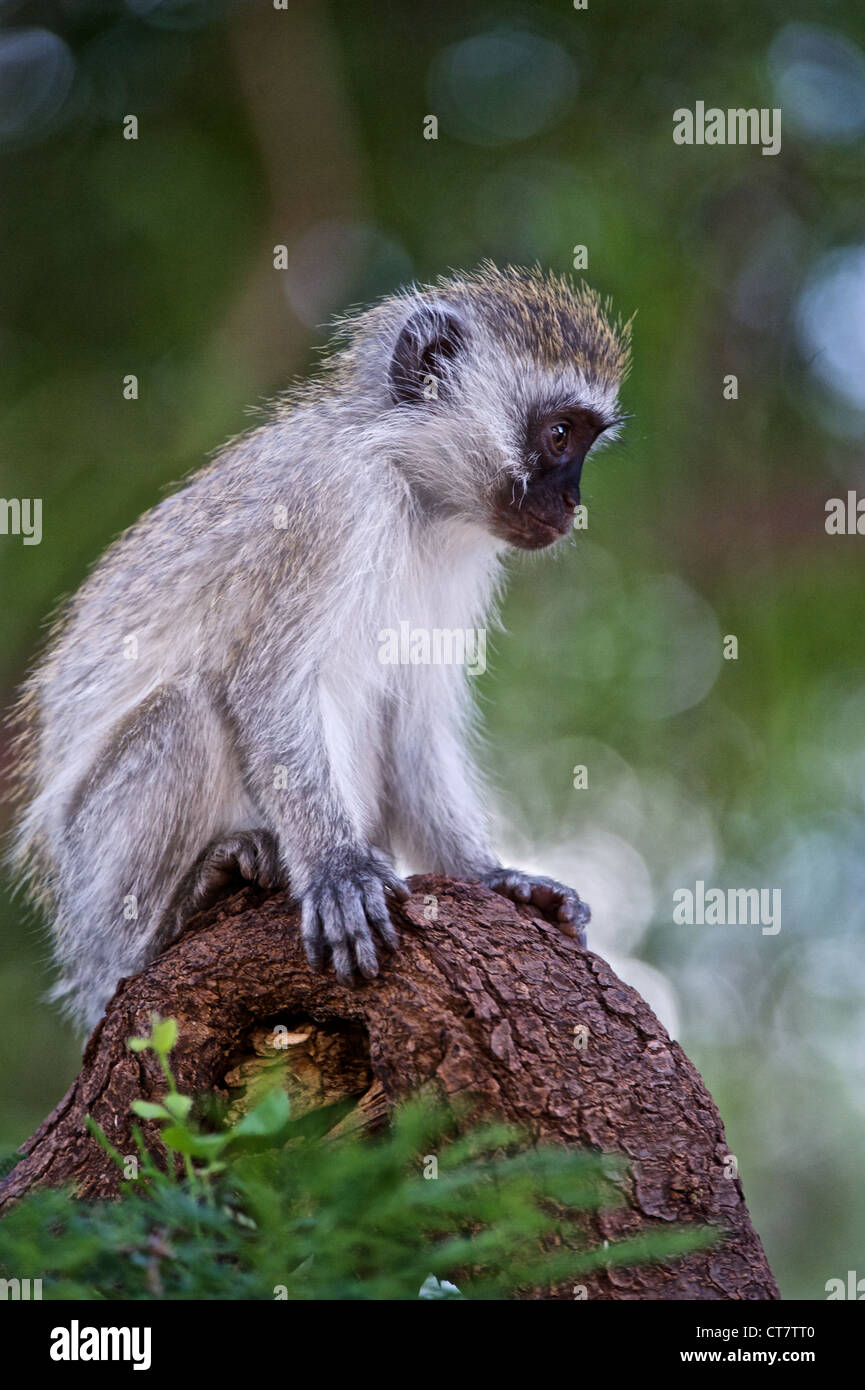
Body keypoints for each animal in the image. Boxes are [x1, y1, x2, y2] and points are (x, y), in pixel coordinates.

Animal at [5, 262, 631, 1035]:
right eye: (559, 435)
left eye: (582, 443)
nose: (571, 506)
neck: (411, 489)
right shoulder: (329, 504)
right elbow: (268, 684)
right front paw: (336, 866)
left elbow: (413, 720)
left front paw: (491, 876)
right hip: (94, 874)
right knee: (185, 716)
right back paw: (166, 919)